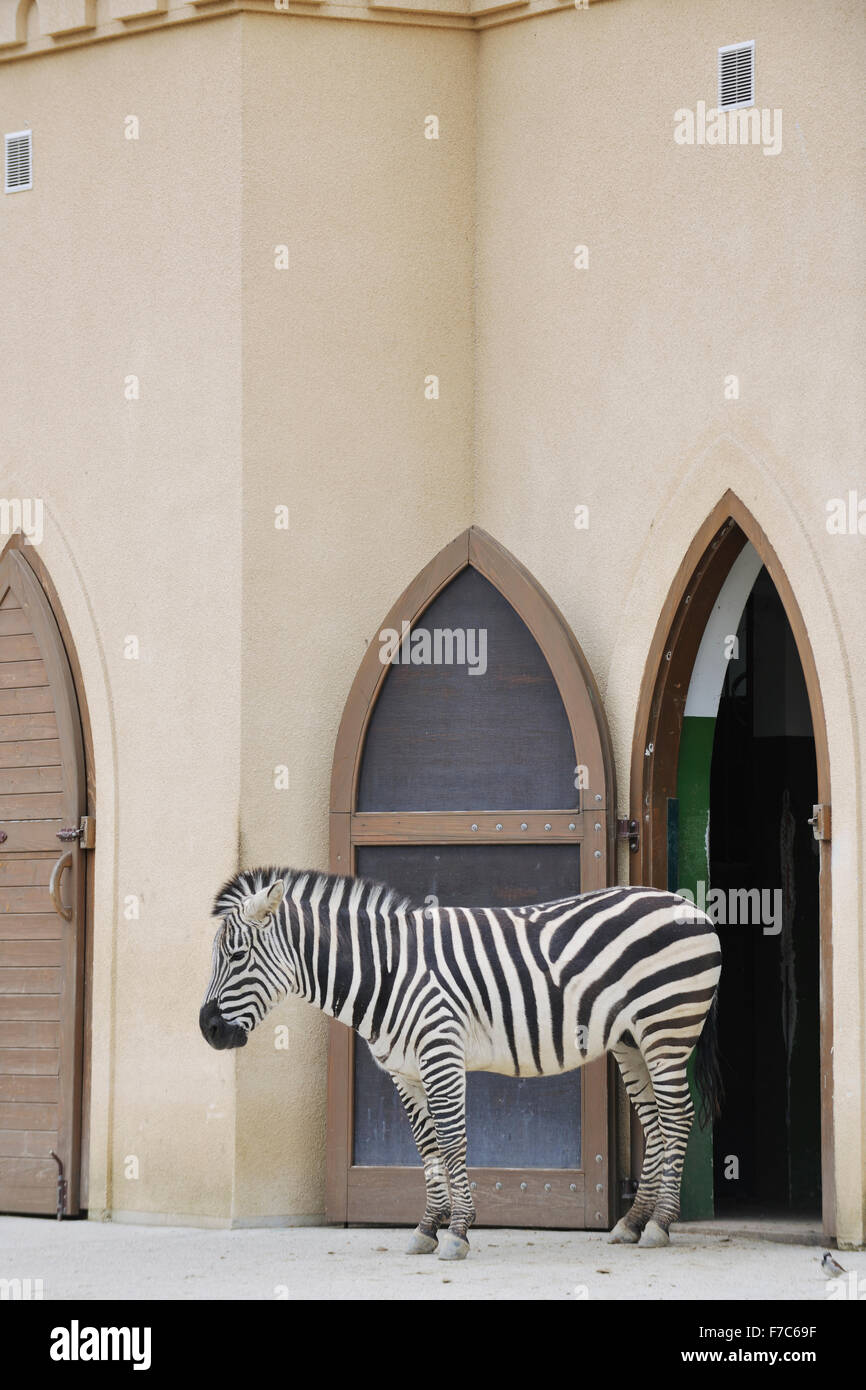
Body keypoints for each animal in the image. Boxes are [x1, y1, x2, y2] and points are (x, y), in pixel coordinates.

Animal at [200, 867, 722, 1260]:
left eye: (238, 955)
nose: (207, 1030)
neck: (387, 973)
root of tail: (691, 908)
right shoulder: (405, 1073)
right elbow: (427, 1150)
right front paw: (427, 1229)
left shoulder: (441, 1054)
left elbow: (453, 1142)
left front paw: (459, 1232)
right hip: (631, 1040)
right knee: (654, 1122)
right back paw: (633, 1222)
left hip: (667, 1028)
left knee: (678, 1117)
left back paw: (660, 1224)